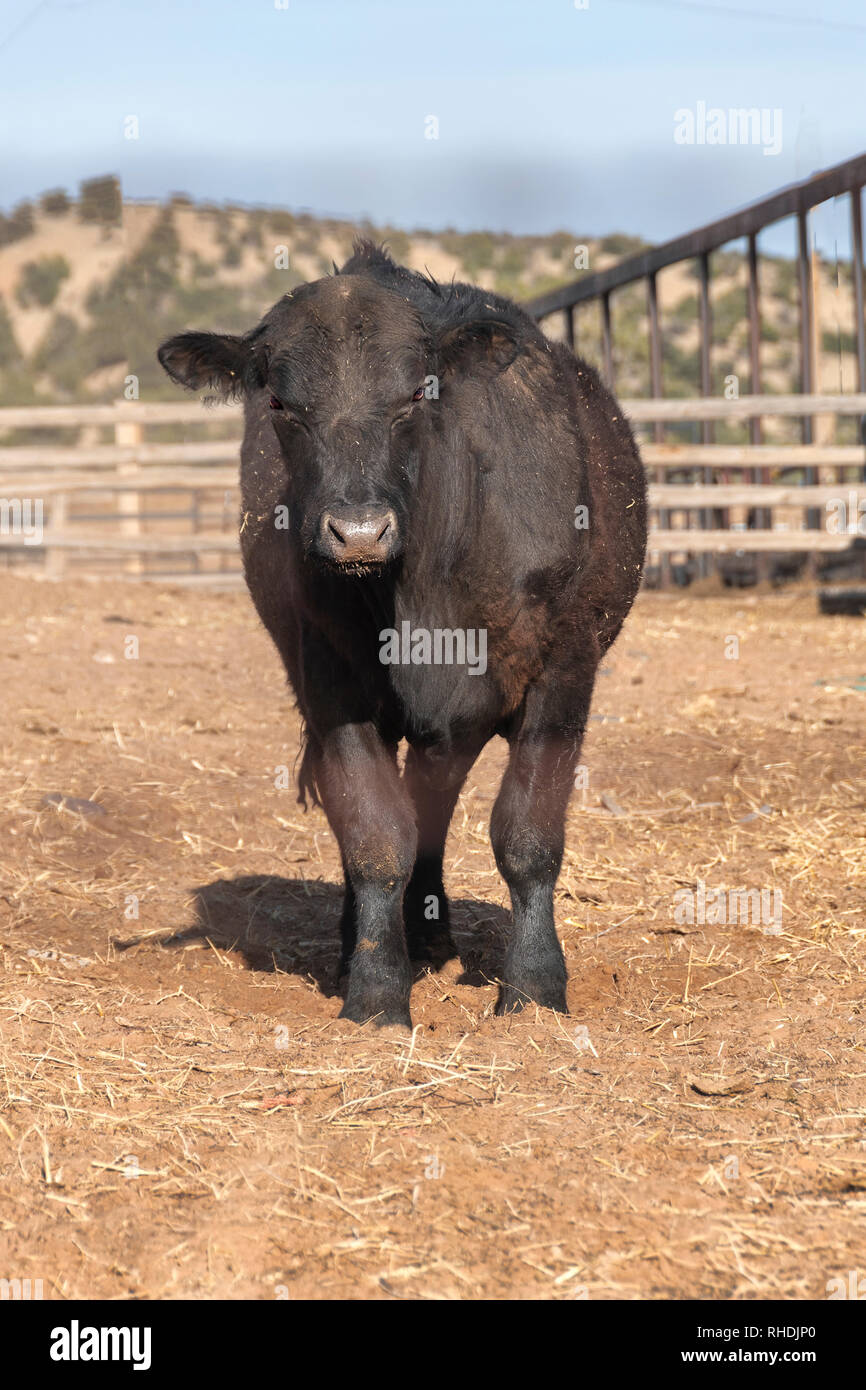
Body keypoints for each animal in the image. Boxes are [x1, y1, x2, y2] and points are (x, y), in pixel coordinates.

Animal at [158, 241, 647, 1030]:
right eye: (280, 404)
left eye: (417, 395)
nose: (357, 531)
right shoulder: (331, 685)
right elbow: (374, 834)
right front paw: (377, 992)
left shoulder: (563, 673)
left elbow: (527, 834)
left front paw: (535, 987)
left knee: (435, 806)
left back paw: (432, 936)